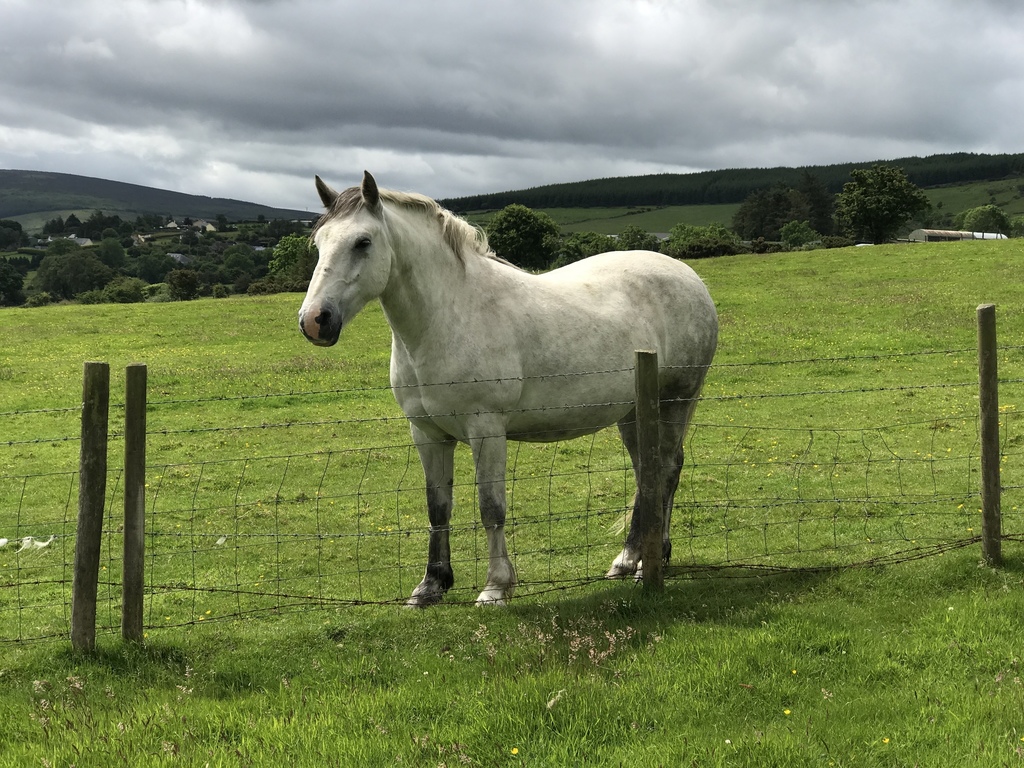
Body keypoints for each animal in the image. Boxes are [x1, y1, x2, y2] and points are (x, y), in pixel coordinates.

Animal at [299, 171, 718, 606]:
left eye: (363, 242)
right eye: (319, 243)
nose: (314, 320)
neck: (448, 316)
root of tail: (689, 277)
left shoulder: (486, 429)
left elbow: (491, 507)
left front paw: (496, 587)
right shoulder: (427, 433)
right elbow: (438, 507)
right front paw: (430, 586)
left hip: (676, 400)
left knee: (665, 471)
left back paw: (646, 565)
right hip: (634, 411)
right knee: (646, 475)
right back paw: (629, 561)